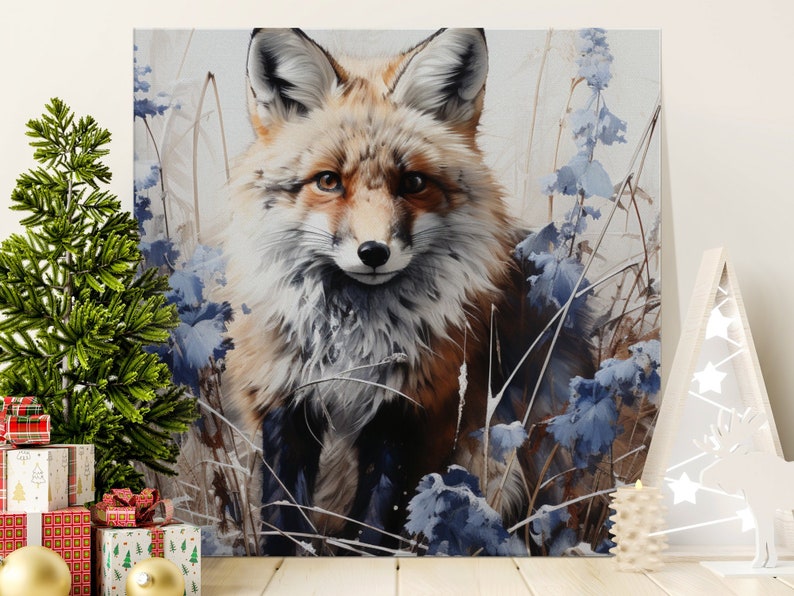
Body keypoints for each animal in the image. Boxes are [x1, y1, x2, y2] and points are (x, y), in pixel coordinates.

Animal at [217, 28, 588, 555]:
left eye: (412, 182)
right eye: (328, 181)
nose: (374, 252)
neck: (351, 347)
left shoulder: (411, 414)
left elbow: (374, 530)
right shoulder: (286, 404)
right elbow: (283, 521)